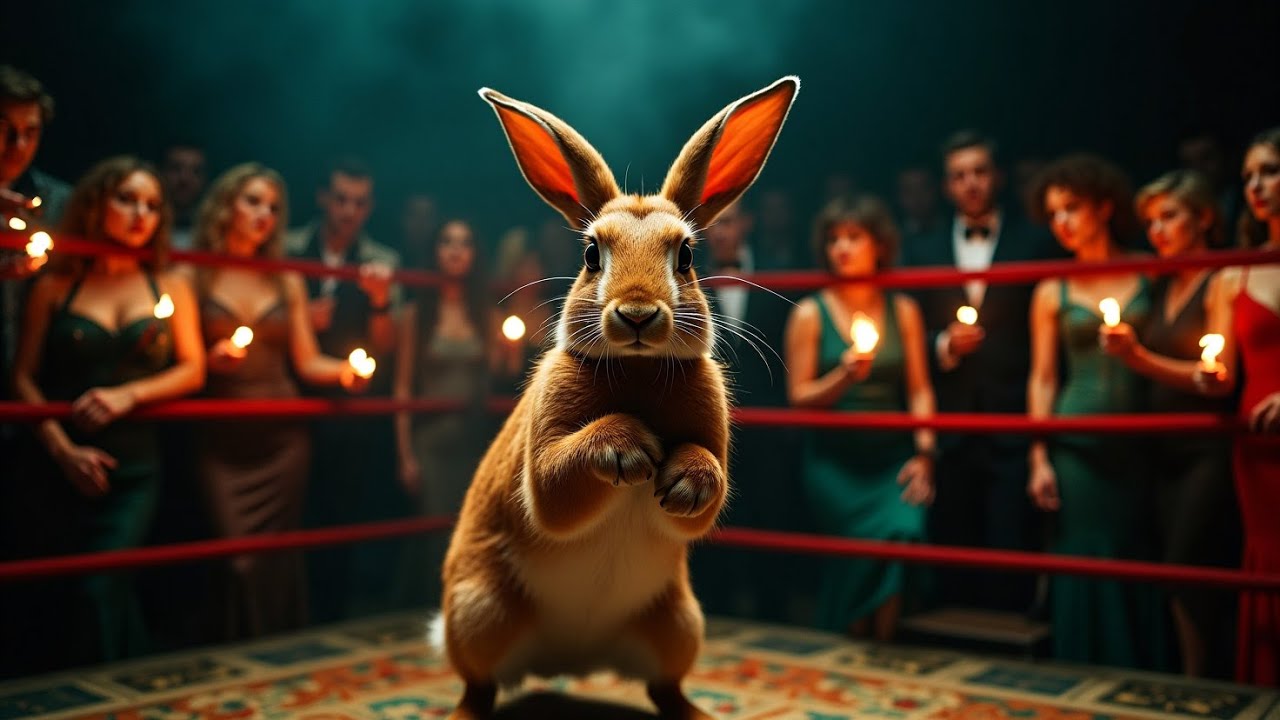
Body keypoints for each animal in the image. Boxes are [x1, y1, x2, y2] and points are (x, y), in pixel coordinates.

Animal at [432, 76, 799, 720]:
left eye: (686, 256)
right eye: (590, 254)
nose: (636, 313)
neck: (637, 371)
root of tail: (571, 660)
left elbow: (707, 487)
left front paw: (683, 481)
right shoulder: (545, 462)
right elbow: (555, 487)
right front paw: (631, 452)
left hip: (679, 624)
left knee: (665, 686)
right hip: (479, 612)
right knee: (479, 683)